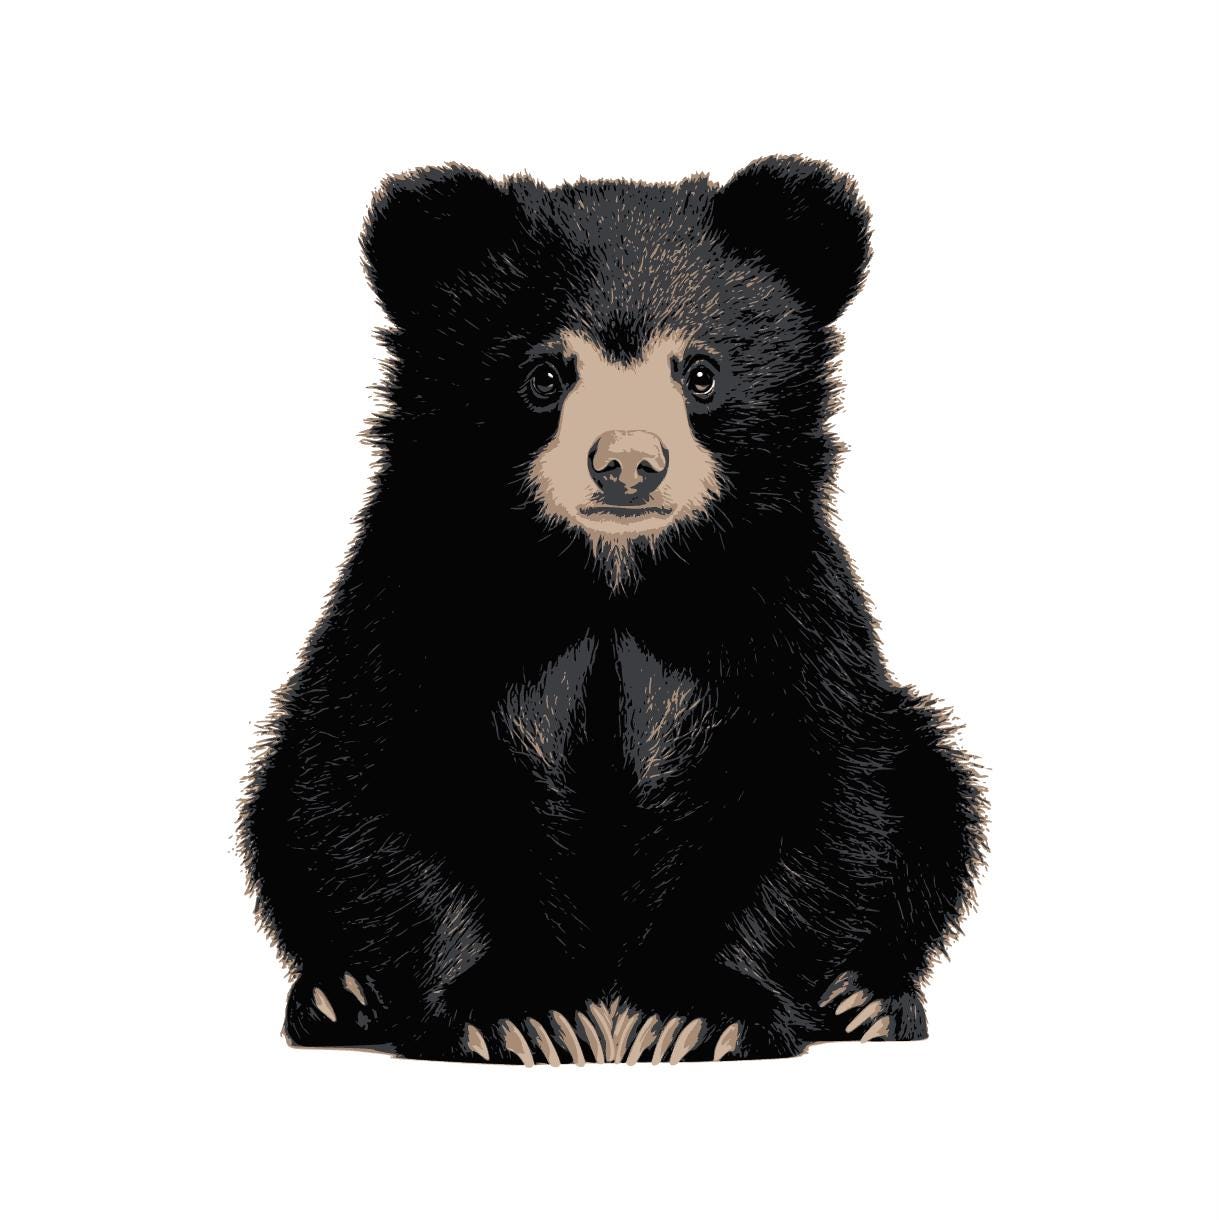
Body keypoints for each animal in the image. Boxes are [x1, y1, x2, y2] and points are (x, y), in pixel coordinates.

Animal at [239, 155, 986, 1065]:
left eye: (699, 372)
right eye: (543, 375)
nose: (628, 465)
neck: (611, 581)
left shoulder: (781, 602)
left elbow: (815, 790)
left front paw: (697, 1013)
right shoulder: (419, 595)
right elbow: (377, 782)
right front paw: (519, 1013)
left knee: (933, 792)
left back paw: (865, 998)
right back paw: (341, 997)